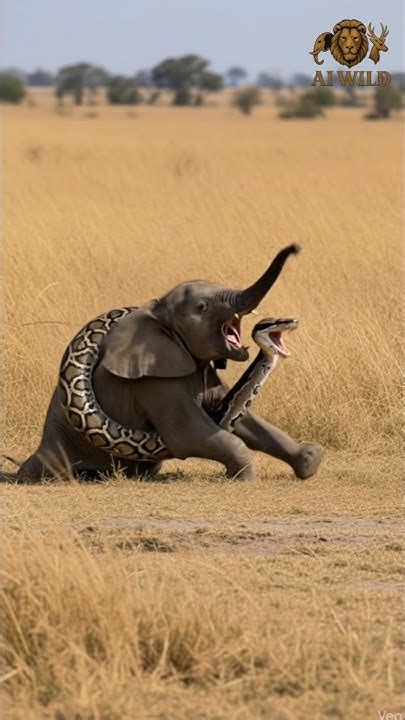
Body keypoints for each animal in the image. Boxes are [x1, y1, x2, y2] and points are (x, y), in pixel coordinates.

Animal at [12, 244, 324, 483]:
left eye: (282, 319)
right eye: (203, 307)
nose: (293, 321)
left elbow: (250, 424)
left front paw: (310, 459)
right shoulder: (155, 384)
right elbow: (188, 434)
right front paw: (245, 477)